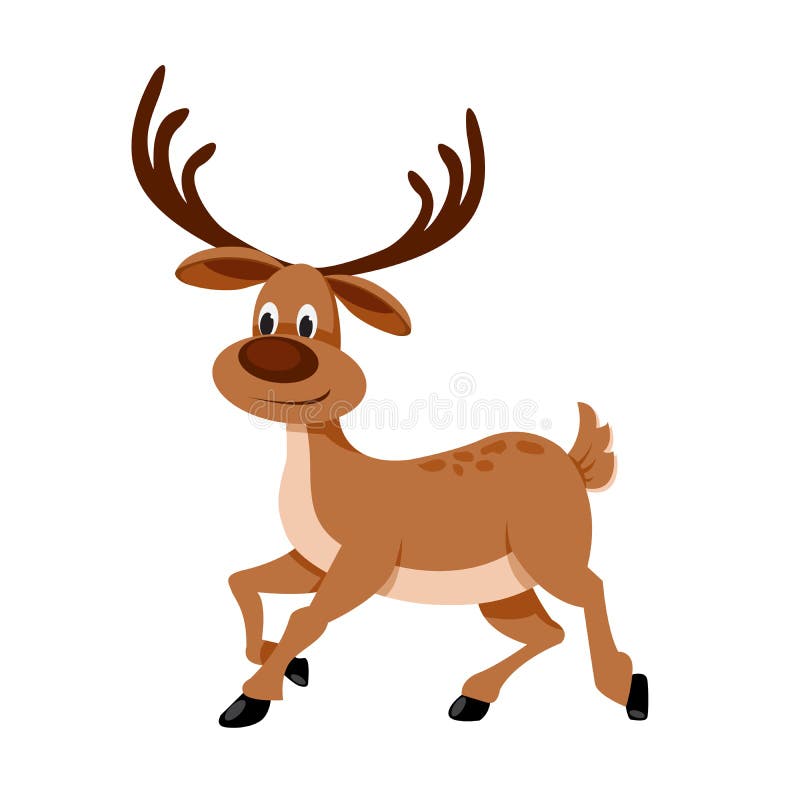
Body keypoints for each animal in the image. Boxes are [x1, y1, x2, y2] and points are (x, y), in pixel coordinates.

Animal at [132, 66, 648, 727]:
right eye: (263, 313)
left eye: (314, 320)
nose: (274, 362)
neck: (331, 484)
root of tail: (574, 461)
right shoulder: (313, 560)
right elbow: (241, 580)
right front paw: (288, 669)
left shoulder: (365, 559)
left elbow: (305, 618)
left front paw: (251, 697)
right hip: (504, 586)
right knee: (546, 630)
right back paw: (472, 697)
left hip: (549, 549)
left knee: (591, 589)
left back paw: (628, 689)